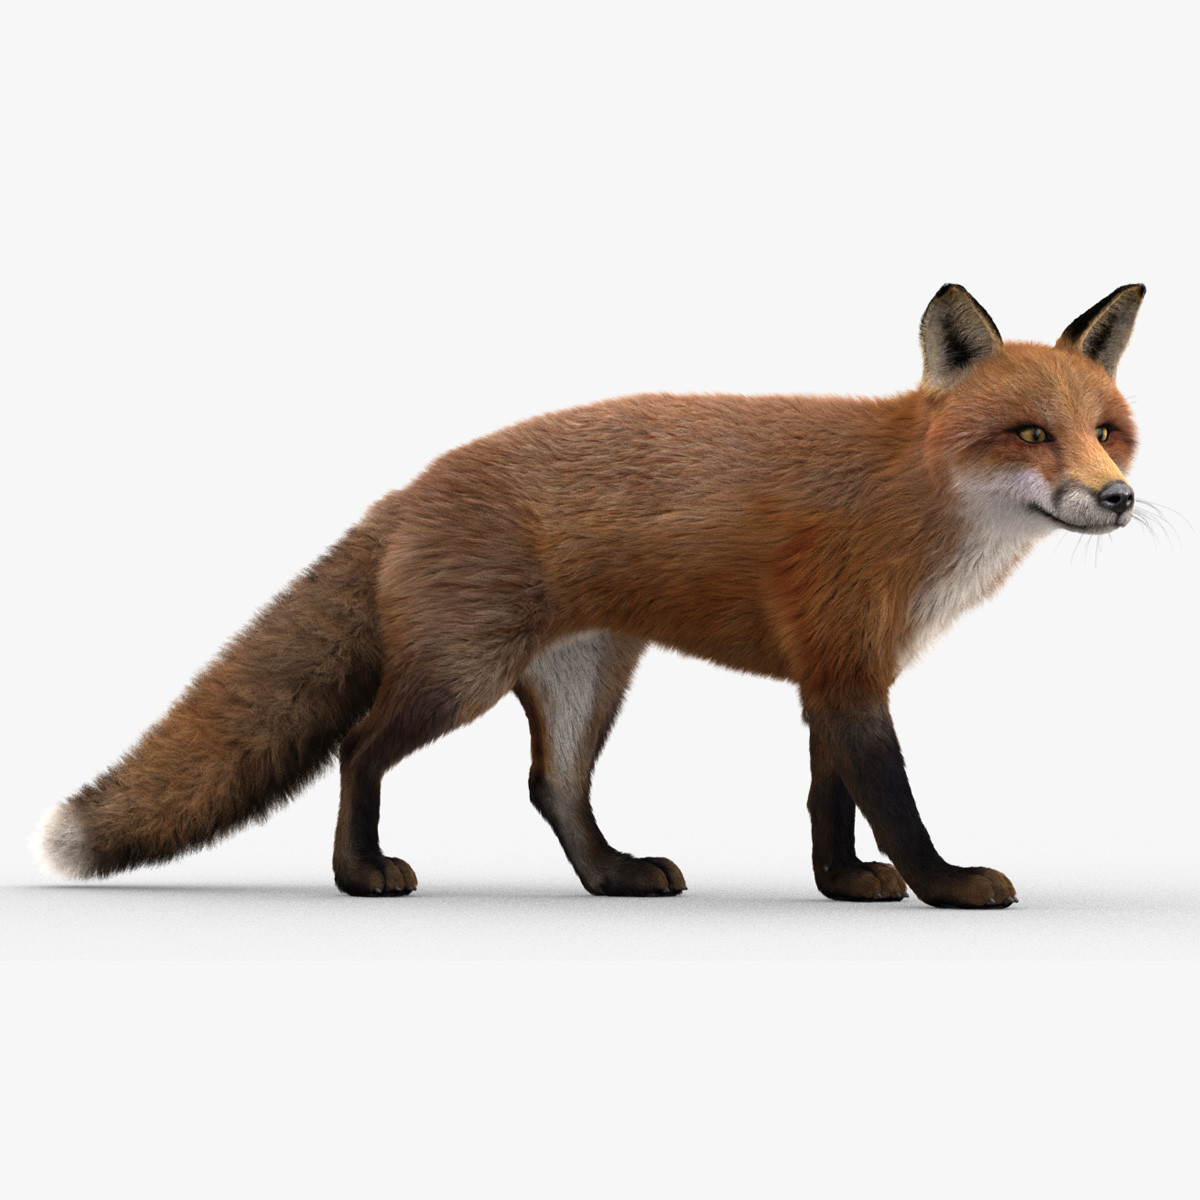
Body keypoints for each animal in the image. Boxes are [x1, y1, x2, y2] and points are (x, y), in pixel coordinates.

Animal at [36, 283, 1146, 908]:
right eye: (1030, 434)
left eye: (1107, 433)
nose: (1119, 498)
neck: (916, 500)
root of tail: (411, 487)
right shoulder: (844, 668)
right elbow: (895, 800)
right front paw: (945, 887)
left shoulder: (838, 671)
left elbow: (832, 800)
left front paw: (843, 886)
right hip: (460, 678)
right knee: (359, 747)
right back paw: (361, 873)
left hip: (586, 680)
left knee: (552, 789)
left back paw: (611, 874)